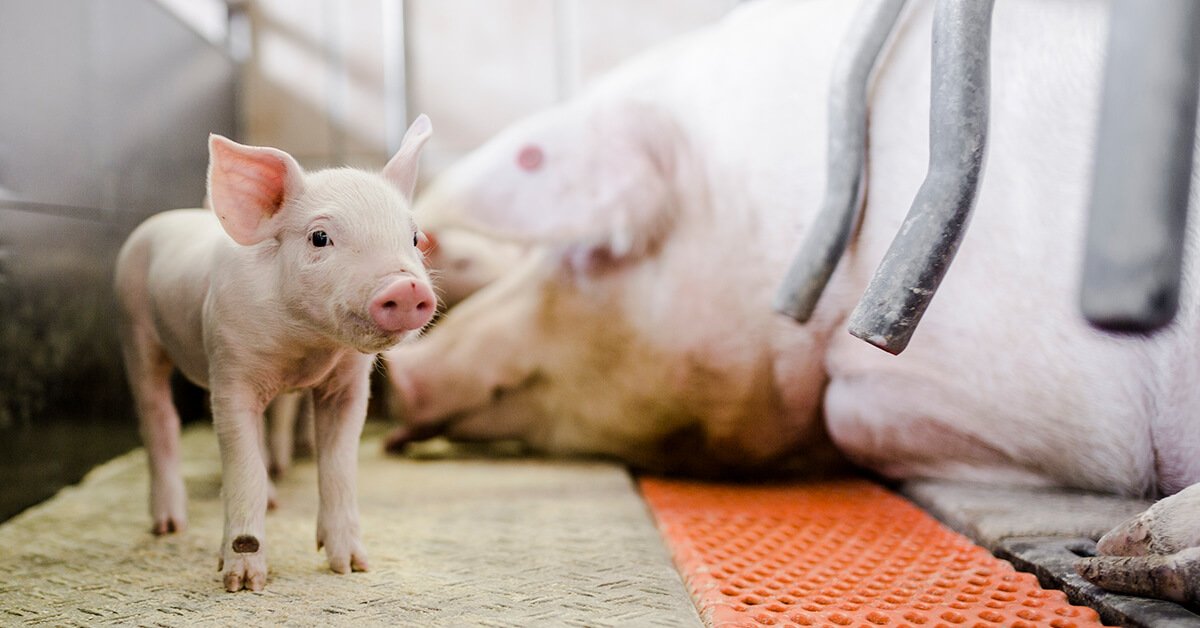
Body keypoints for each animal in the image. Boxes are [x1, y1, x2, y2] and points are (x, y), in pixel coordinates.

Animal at [114, 115, 437, 591]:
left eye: (414, 237)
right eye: (320, 237)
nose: (409, 286)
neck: (305, 346)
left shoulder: (347, 385)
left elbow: (338, 466)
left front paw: (352, 567)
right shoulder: (230, 369)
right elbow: (243, 464)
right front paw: (244, 583)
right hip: (134, 328)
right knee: (158, 418)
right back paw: (169, 527)